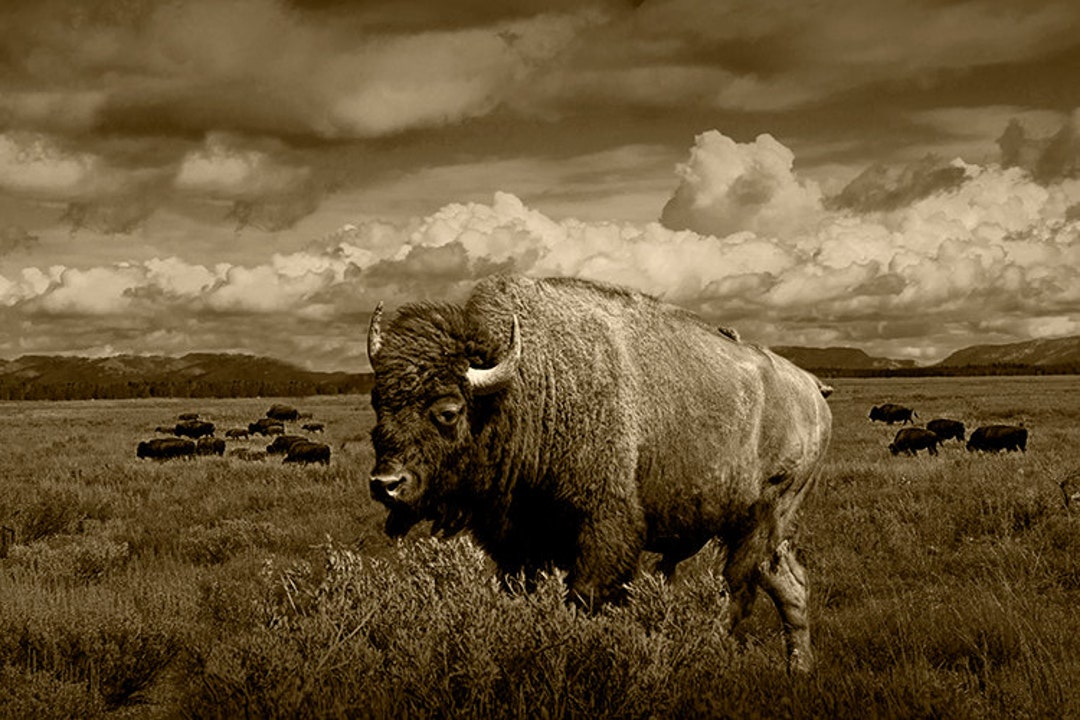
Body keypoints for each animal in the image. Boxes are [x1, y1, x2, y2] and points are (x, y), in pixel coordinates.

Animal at [366, 275, 832, 671]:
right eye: (377, 402)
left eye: (448, 411)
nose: (386, 484)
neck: (532, 386)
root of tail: (812, 390)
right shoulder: (517, 542)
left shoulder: (603, 531)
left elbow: (586, 598)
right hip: (761, 529)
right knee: (789, 584)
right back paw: (799, 669)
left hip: (762, 520)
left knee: (735, 591)